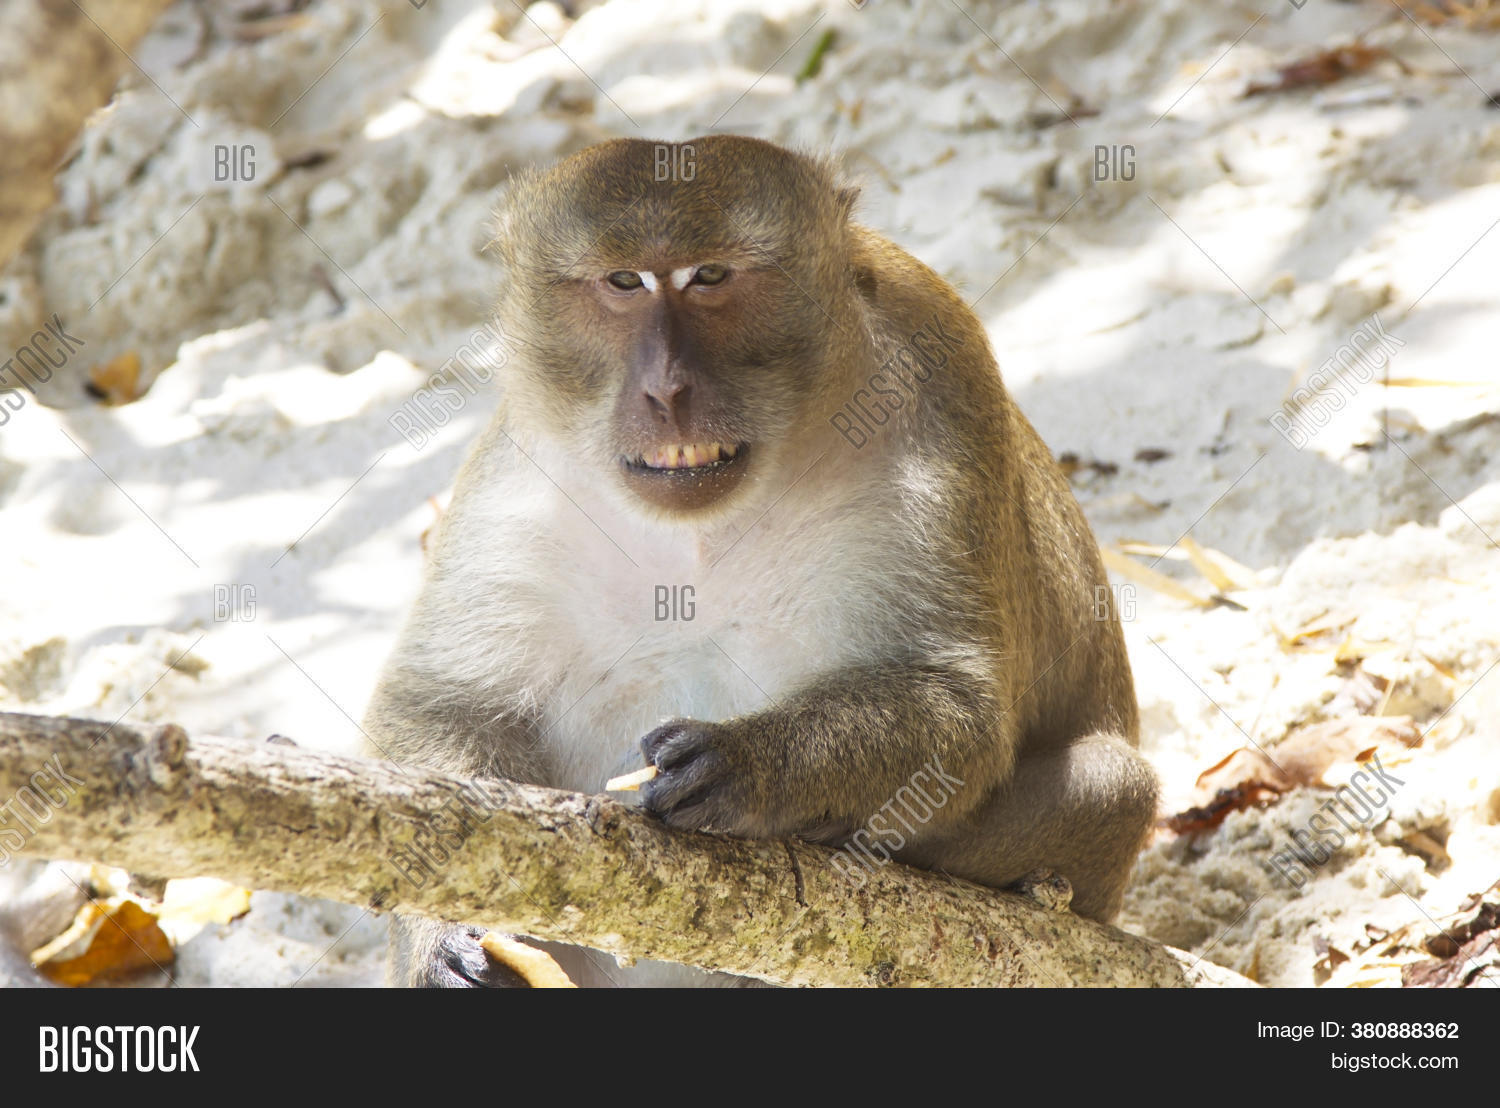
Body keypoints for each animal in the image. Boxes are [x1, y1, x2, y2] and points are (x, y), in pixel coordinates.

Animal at [362, 135, 1159, 987]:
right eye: (623, 282)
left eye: (711, 276)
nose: (667, 389)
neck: (700, 534)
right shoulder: (514, 488)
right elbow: (445, 707)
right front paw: (447, 939)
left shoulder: (938, 408)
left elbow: (955, 712)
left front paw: (752, 764)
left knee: (1115, 787)